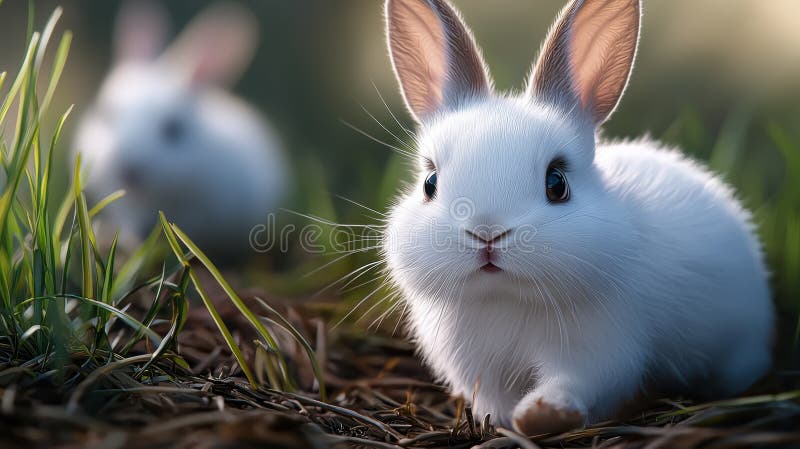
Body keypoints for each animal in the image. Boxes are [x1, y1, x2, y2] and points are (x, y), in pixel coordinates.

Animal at [381, 0, 774, 436]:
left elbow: (572, 383)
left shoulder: (597, 353)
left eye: (557, 183)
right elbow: (494, 399)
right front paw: (499, 422)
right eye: (430, 183)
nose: (487, 233)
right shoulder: (480, 368)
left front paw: (540, 415)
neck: (507, 297)